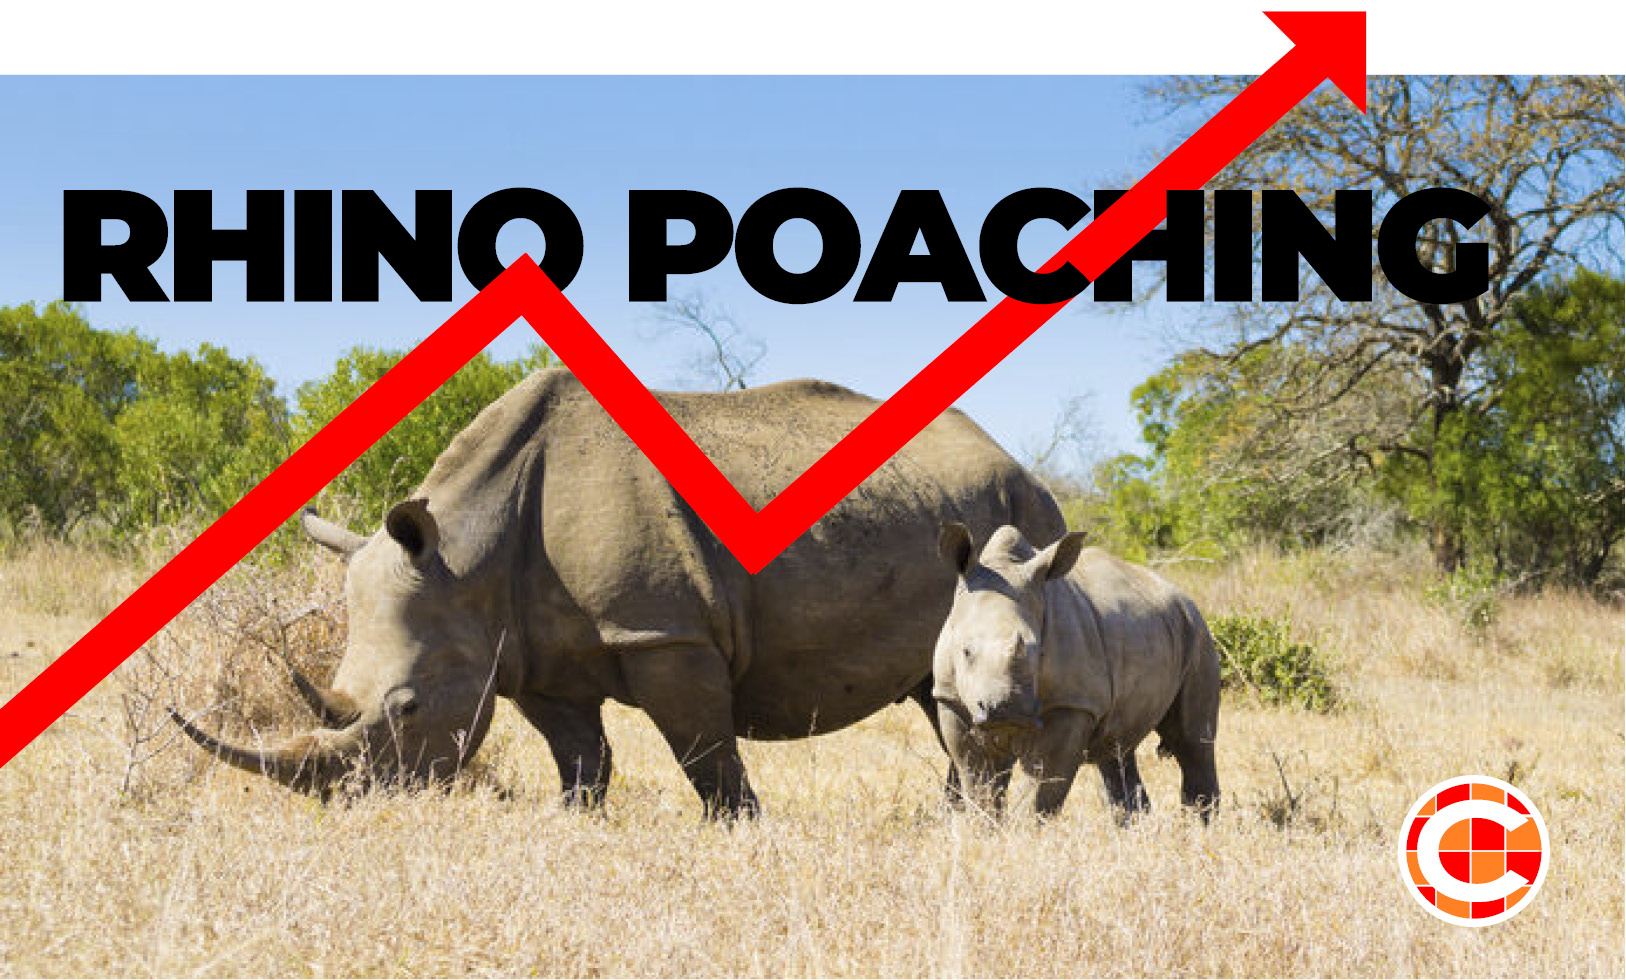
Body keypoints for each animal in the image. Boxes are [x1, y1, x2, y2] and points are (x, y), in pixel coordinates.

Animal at [172, 369, 1064, 816]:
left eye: (408, 708)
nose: (356, 808)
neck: (467, 554)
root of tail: (1014, 458)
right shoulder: (529, 655)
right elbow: (580, 759)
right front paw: (576, 824)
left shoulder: (665, 633)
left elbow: (706, 755)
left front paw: (736, 833)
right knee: (935, 693)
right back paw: (953, 820)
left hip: (1023, 509)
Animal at [931, 523, 1220, 819]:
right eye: (966, 652)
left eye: (1040, 653)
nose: (1005, 709)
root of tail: (1183, 597)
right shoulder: (951, 699)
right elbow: (980, 786)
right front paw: (986, 825)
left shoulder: (1071, 703)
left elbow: (1042, 786)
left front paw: (1024, 829)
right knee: (1117, 750)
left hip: (1196, 631)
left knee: (1192, 741)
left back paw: (1197, 823)